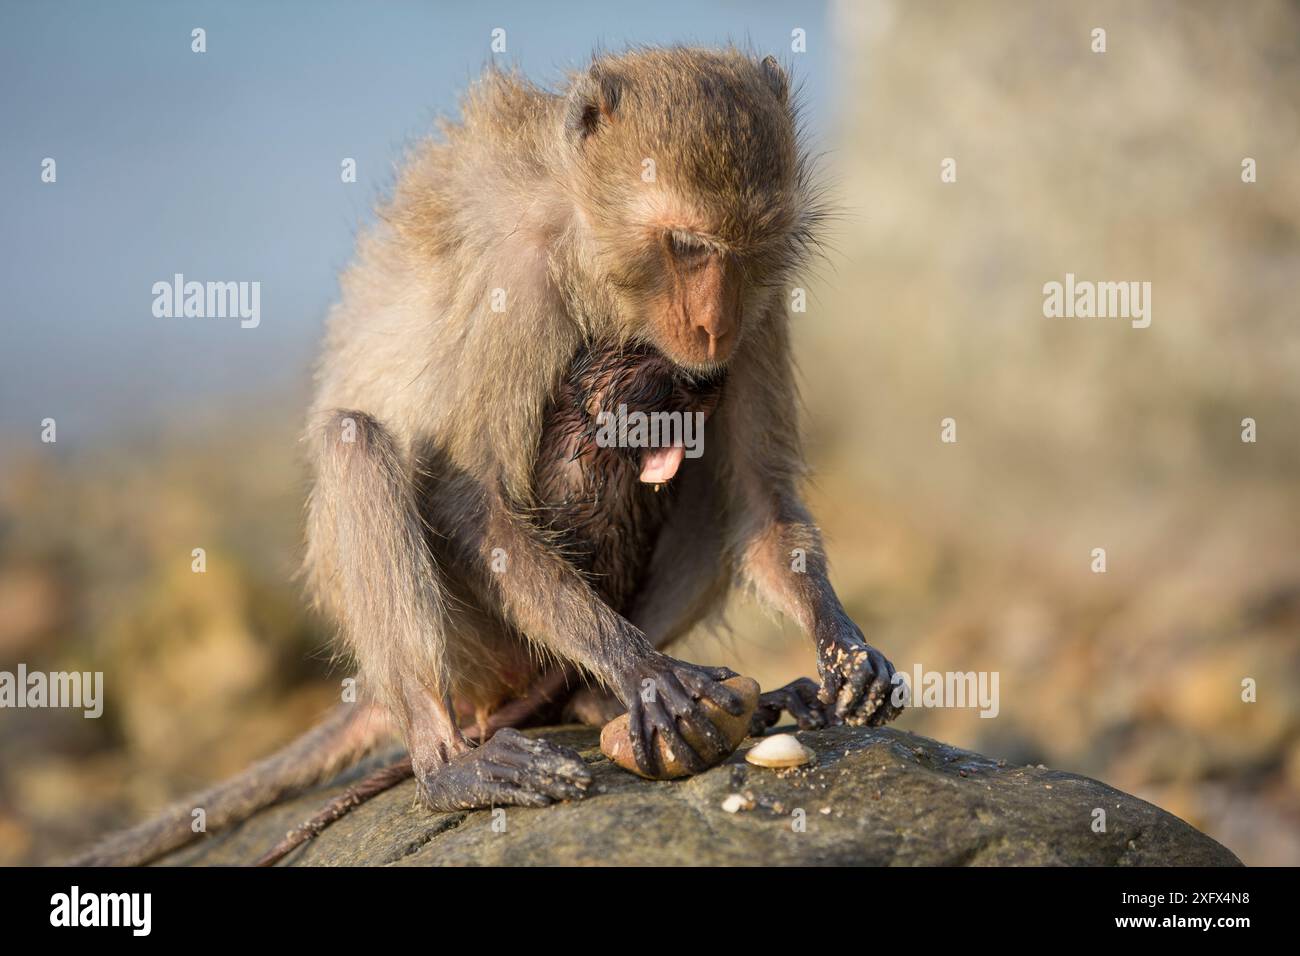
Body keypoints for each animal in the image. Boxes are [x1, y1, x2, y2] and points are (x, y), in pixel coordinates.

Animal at [70, 46, 901, 867]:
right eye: (690, 246)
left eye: (747, 251)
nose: (711, 329)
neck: (585, 233)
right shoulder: (517, 279)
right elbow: (475, 501)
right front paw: (640, 670)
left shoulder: (763, 304)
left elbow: (759, 495)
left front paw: (844, 648)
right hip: (478, 651)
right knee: (355, 443)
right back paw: (449, 763)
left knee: (708, 483)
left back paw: (590, 697)